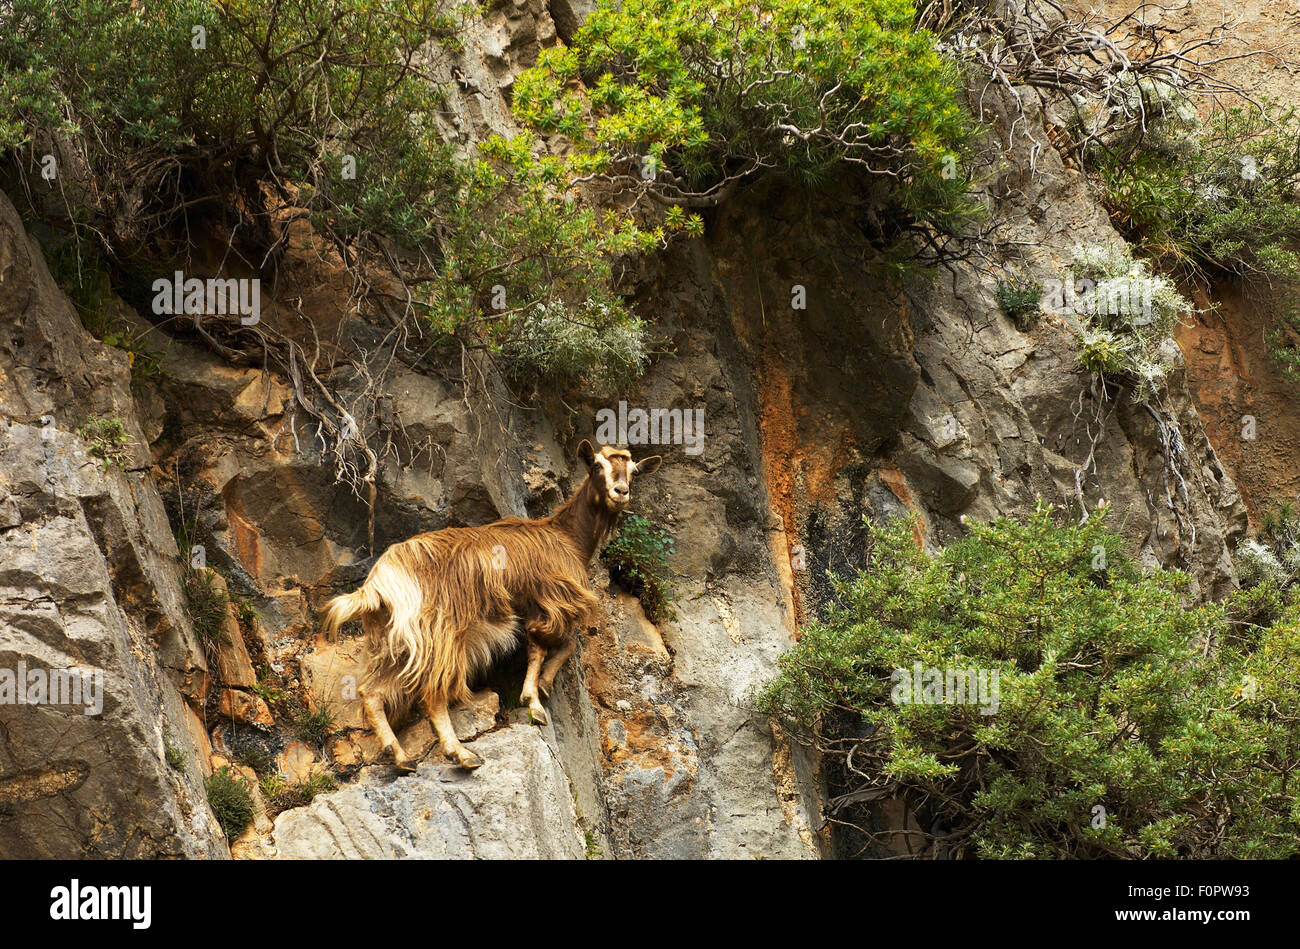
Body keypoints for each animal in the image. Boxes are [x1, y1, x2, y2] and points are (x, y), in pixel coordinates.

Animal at [321, 441, 663, 770]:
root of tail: (380, 582)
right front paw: (535, 699)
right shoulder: (546, 602)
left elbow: (556, 648)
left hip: (392, 640)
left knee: (372, 693)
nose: (621, 492)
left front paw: (543, 686)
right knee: (432, 694)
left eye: (633, 471)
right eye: (596, 466)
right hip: (437, 633)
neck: (567, 537)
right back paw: (460, 754)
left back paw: (400, 756)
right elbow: (550, 648)